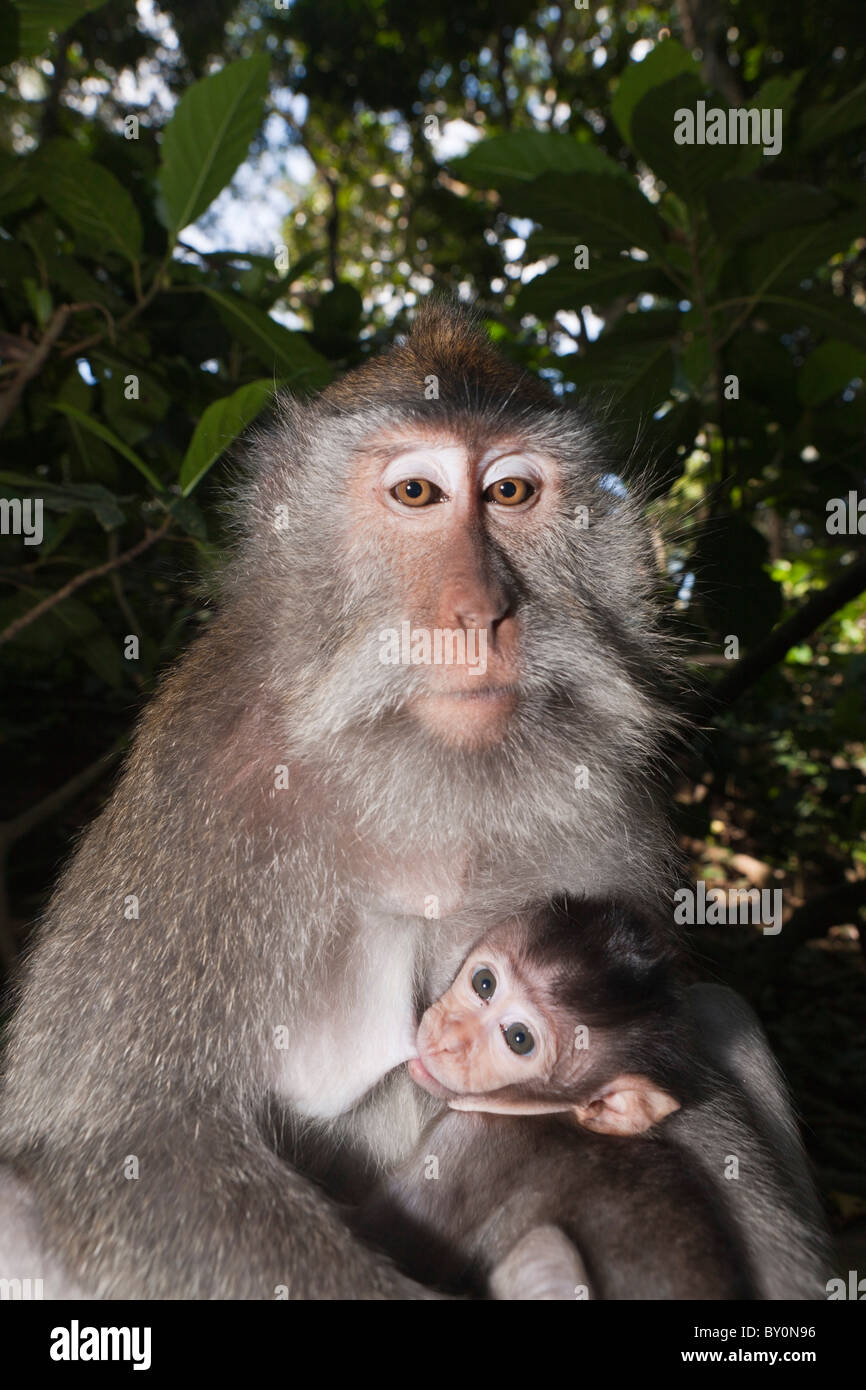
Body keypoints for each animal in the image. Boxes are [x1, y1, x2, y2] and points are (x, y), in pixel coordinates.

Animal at [0, 300, 828, 1298]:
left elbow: (665, 1038)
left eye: (510, 494)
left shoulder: (604, 799)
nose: (481, 615)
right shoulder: (203, 786)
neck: (421, 768)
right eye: (418, 495)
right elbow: (134, 1140)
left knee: (722, 1013)